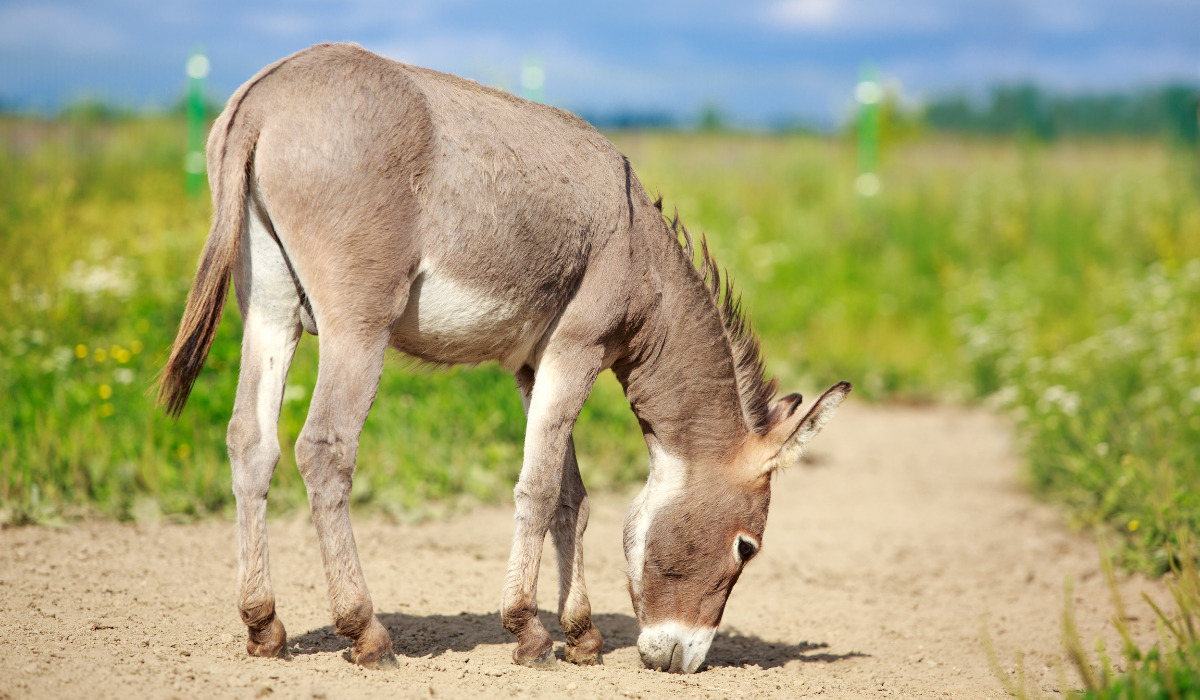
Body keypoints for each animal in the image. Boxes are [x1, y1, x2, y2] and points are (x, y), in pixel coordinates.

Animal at [159, 42, 850, 675]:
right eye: (747, 549)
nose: (683, 661)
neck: (637, 249)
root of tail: (269, 92)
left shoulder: (533, 364)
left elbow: (574, 495)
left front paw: (582, 636)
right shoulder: (577, 349)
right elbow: (539, 488)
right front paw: (528, 632)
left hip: (270, 312)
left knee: (251, 443)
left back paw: (263, 626)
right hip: (357, 324)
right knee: (324, 449)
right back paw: (366, 633)